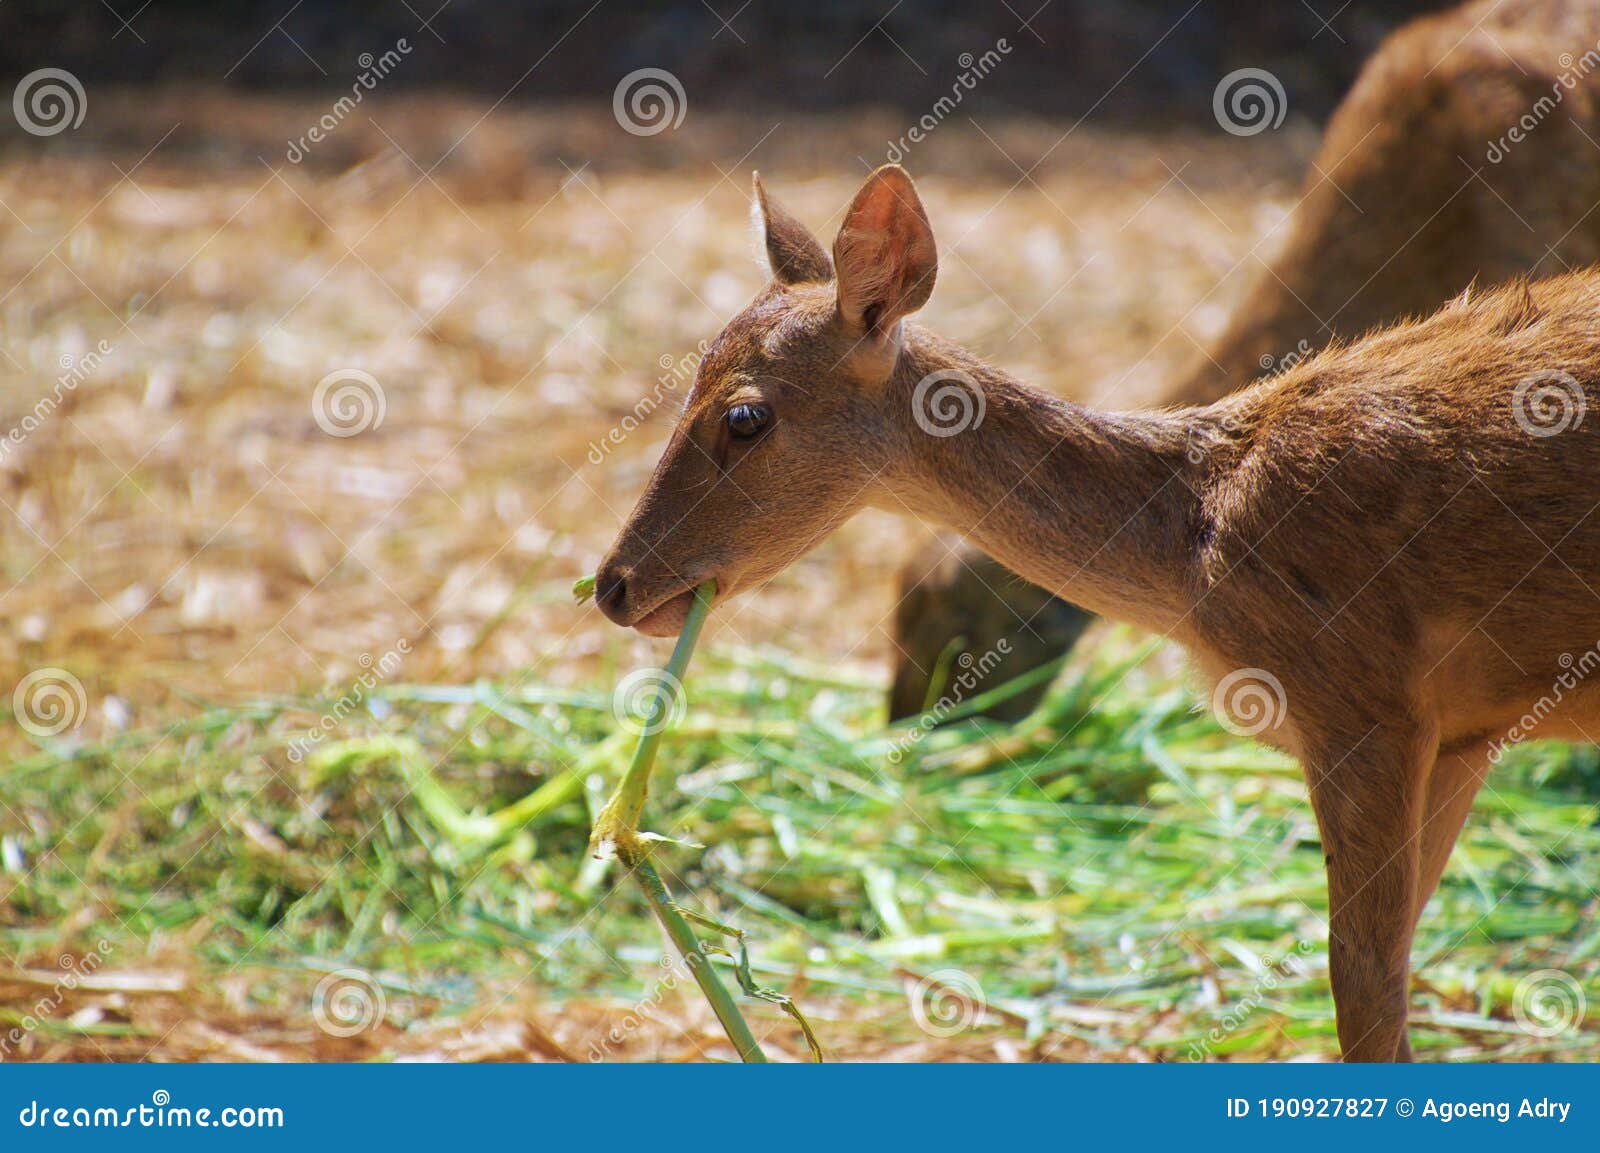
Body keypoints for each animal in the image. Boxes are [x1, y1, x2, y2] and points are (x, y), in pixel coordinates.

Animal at [593, 160, 1600, 1061]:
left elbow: (1360, 984)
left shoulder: (1366, 702)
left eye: (745, 417)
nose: (613, 584)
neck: (1202, 544)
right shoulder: (1464, 732)